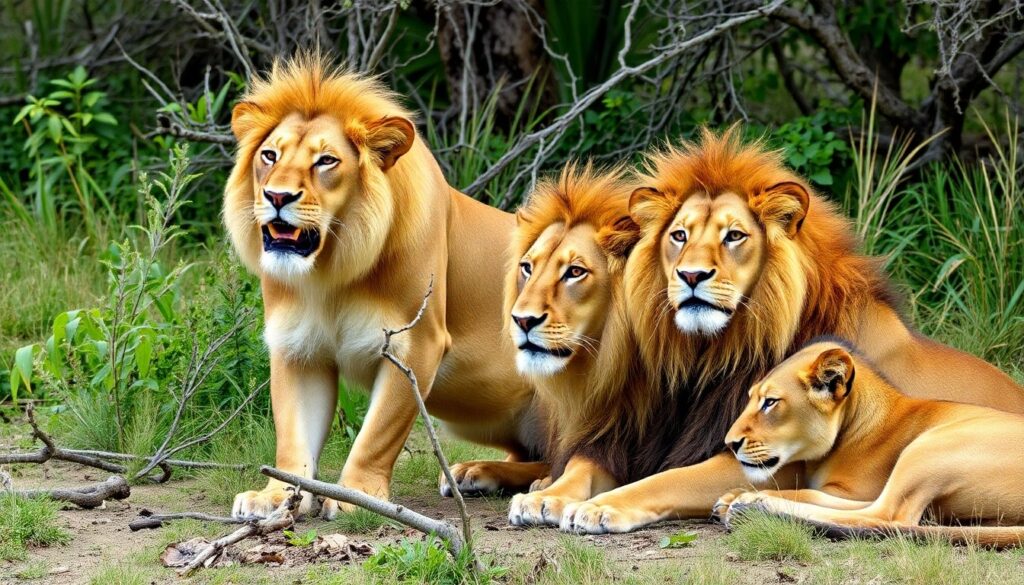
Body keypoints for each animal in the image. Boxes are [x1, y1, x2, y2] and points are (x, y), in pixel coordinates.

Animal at [224, 54, 547, 519]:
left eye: (326, 161)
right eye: (269, 155)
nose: (277, 196)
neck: (330, 272)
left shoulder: (415, 344)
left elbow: (377, 435)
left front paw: (356, 497)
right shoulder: (298, 347)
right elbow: (293, 435)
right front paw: (274, 497)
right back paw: (476, 473)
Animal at [716, 338, 1024, 548]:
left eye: (770, 402)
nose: (730, 443)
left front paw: (747, 500)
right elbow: (811, 491)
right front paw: (734, 496)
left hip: (928, 448)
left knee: (885, 516)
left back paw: (755, 508)